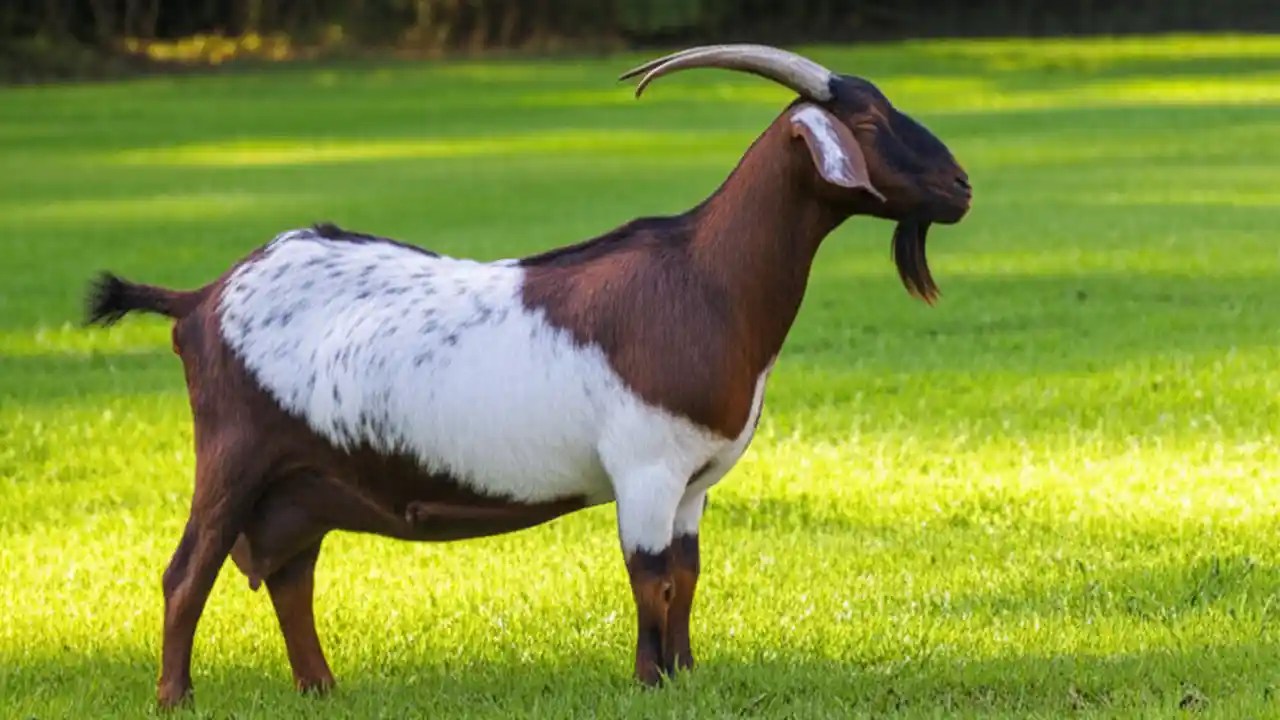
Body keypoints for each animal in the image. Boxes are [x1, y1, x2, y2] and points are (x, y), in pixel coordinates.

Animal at [84, 45, 971, 708]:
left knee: (290, 575)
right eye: (867, 121)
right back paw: (177, 698)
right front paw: (649, 683)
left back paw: (321, 689)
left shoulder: (693, 481)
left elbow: (686, 576)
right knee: (187, 573)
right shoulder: (645, 467)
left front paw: (686, 676)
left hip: (303, 481)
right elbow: (650, 579)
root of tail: (201, 299)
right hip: (234, 457)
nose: (961, 189)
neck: (703, 280)